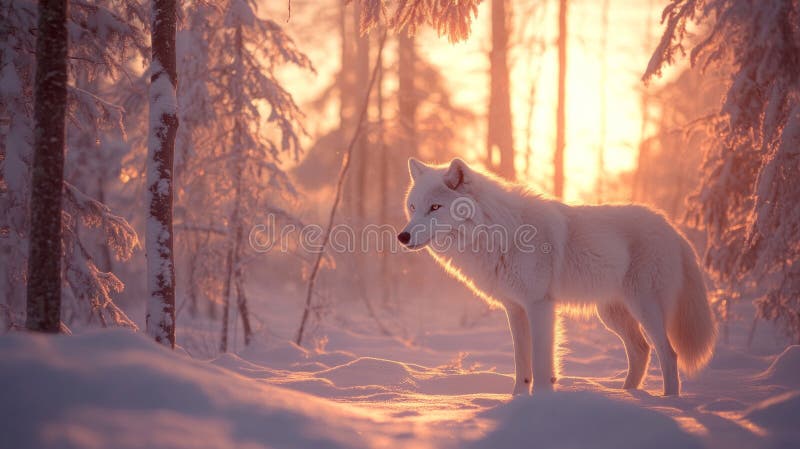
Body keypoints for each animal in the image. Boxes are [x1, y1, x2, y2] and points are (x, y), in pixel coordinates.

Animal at [398, 158, 716, 396]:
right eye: (413, 207)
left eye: (435, 207)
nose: (403, 236)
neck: (498, 232)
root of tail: (672, 227)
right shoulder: (515, 309)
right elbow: (521, 365)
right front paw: (517, 400)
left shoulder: (540, 305)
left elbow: (541, 364)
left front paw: (541, 401)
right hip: (611, 314)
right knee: (641, 351)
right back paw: (628, 395)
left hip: (644, 307)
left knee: (668, 353)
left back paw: (669, 402)